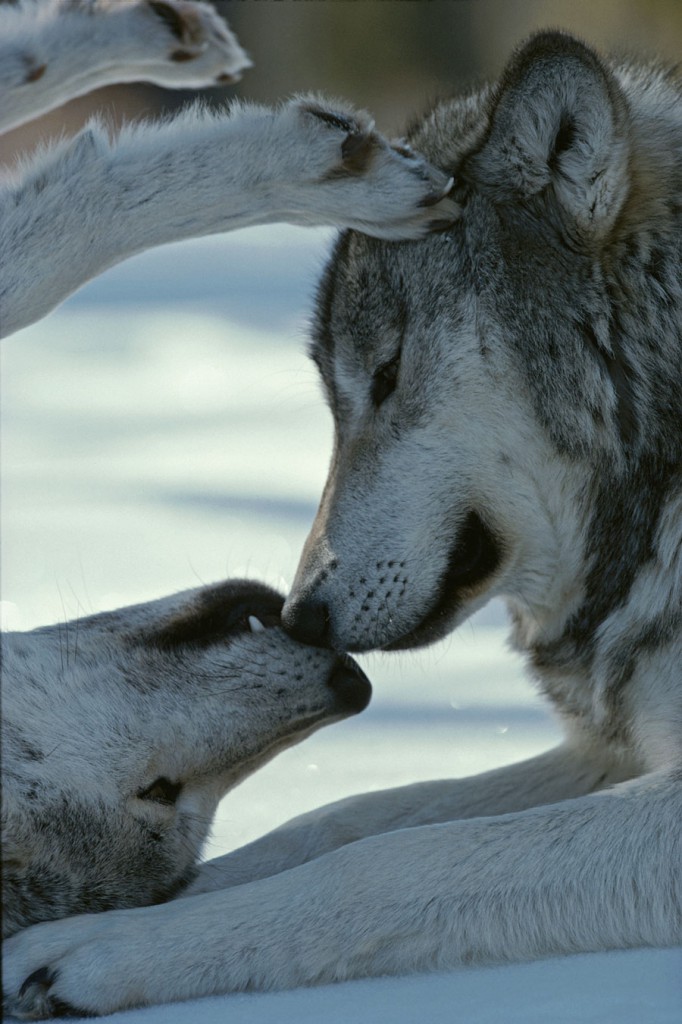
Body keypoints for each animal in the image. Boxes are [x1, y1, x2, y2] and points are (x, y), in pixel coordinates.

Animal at [4, 26, 681, 1022]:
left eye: (388, 374)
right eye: (334, 394)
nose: (303, 617)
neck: (666, 475)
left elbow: (390, 862)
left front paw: (98, 947)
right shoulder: (612, 749)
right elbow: (341, 819)